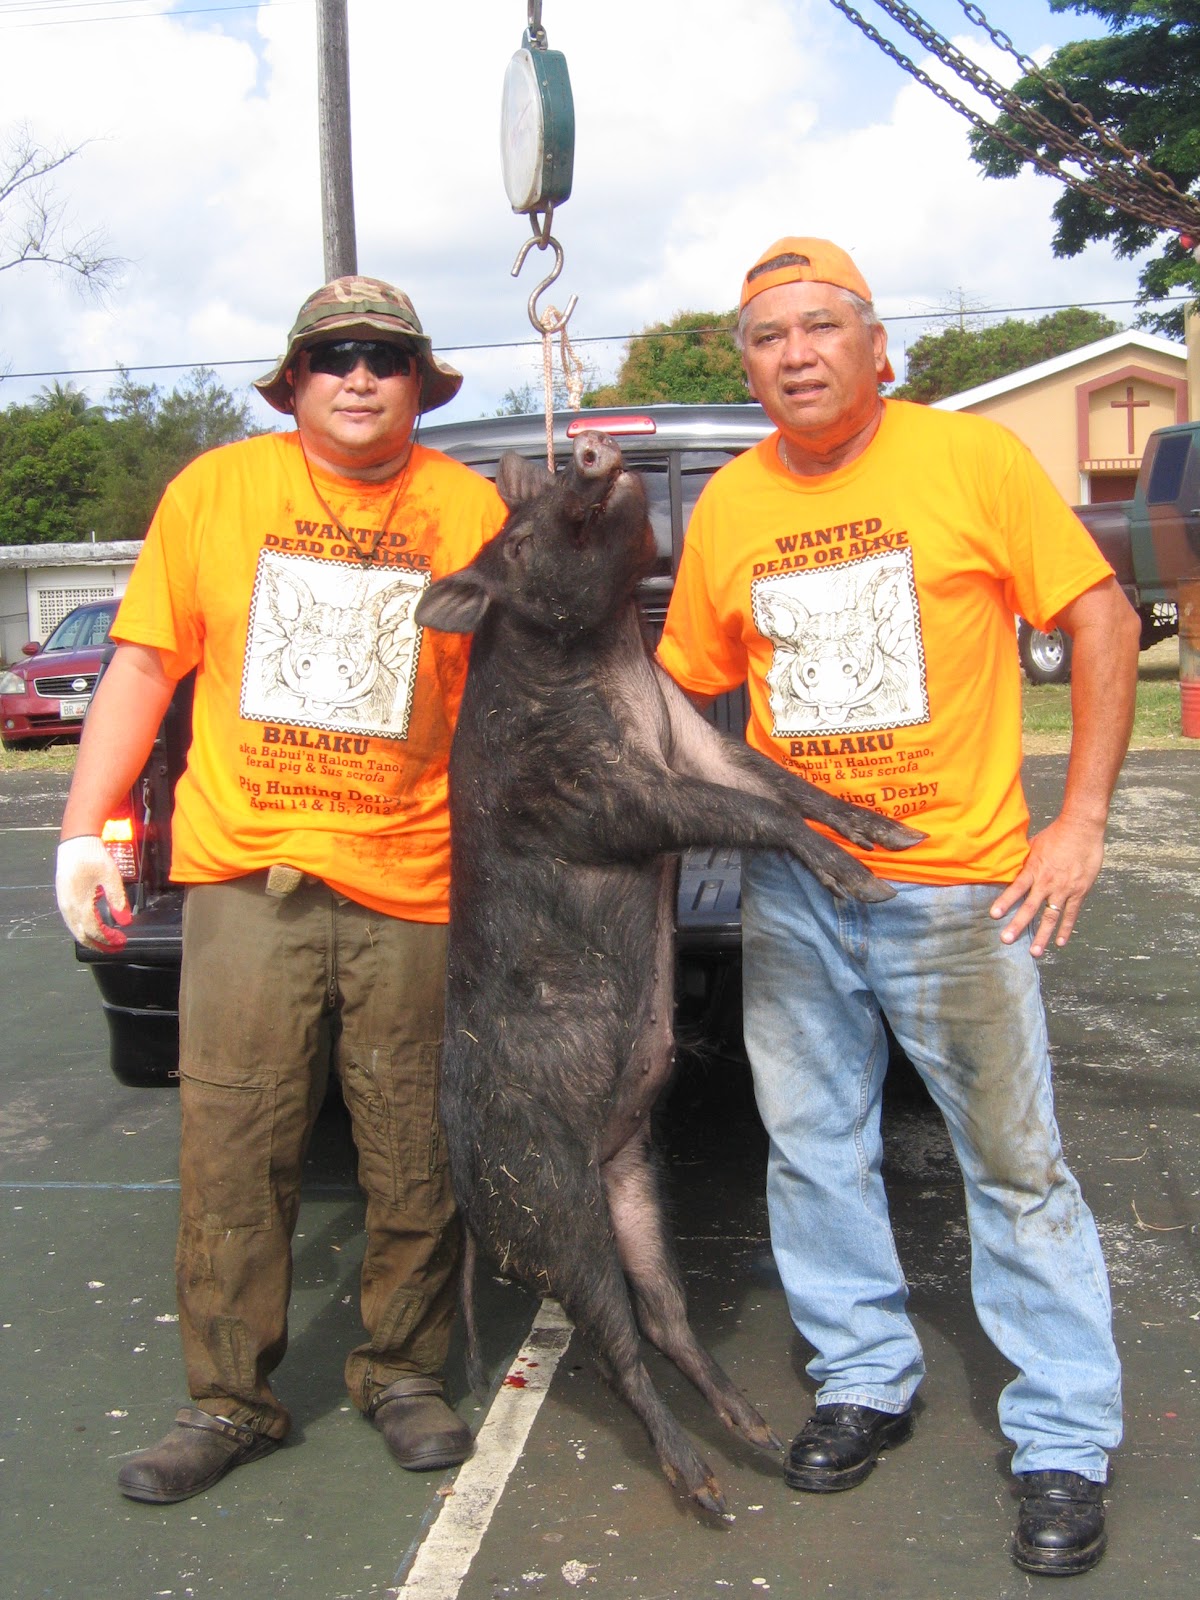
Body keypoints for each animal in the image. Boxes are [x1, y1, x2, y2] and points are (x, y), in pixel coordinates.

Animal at [414, 432, 922, 1514]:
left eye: (534, 506)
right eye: (518, 543)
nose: (588, 452)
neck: (615, 661)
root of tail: (472, 1201)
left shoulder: (695, 743)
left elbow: (780, 785)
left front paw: (893, 840)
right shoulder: (600, 798)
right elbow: (758, 815)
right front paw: (866, 886)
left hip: (631, 1180)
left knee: (664, 1315)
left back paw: (756, 1430)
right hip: (551, 1201)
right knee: (612, 1344)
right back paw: (707, 1489)